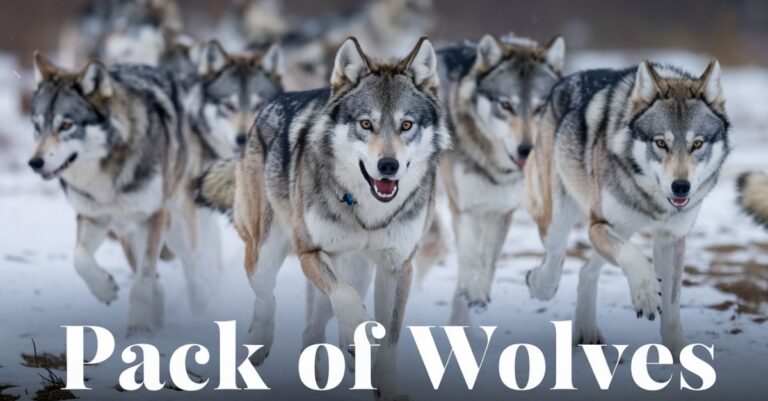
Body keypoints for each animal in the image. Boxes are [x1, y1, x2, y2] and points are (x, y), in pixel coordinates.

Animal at [29, 53, 217, 334]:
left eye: (66, 125)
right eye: (37, 126)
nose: (34, 162)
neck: (106, 178)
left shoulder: (153, 218)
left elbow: (142, 280)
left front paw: (138, 328)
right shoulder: (94, 218)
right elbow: (80, 258)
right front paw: (105, 289)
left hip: (176, 227)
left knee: (192, 266)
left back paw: (200, 308)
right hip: (126, 232)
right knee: (155, 276)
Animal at [196, 37, 449, 399]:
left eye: (406, 125)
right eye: (366, 124)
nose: (388, 166)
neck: (368, 212)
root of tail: (266, 109)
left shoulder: (398, 267)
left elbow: (389, 339)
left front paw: (386, 387)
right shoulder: (310, 252)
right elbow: (348, 301)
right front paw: (358, 333)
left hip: (357, 271)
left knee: (313, 327)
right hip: (266, 255)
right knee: (266, 298)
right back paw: (259, 345)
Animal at [434, 34, 566, 325]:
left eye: (540, 107)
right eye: (506, 105)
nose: (526, 149)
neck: (492, 165)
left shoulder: (501, 210)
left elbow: (488, 259)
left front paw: (478, 296)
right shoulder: (464, 208)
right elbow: (471, 259)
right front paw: (471, 294)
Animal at [525, 60, 729, 355]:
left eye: (697, 144)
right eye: (661, 143)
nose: (681, 187)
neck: (652, 201)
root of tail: (560, 84)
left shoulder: (671, 238)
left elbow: (672, 306)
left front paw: (678, 352)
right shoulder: (598, 226)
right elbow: (633, 254)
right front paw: (646, 293)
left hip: (617, 230)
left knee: (586, 271)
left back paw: (587, 331)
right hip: (559, 225)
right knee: (554, 264)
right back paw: (538, 283)